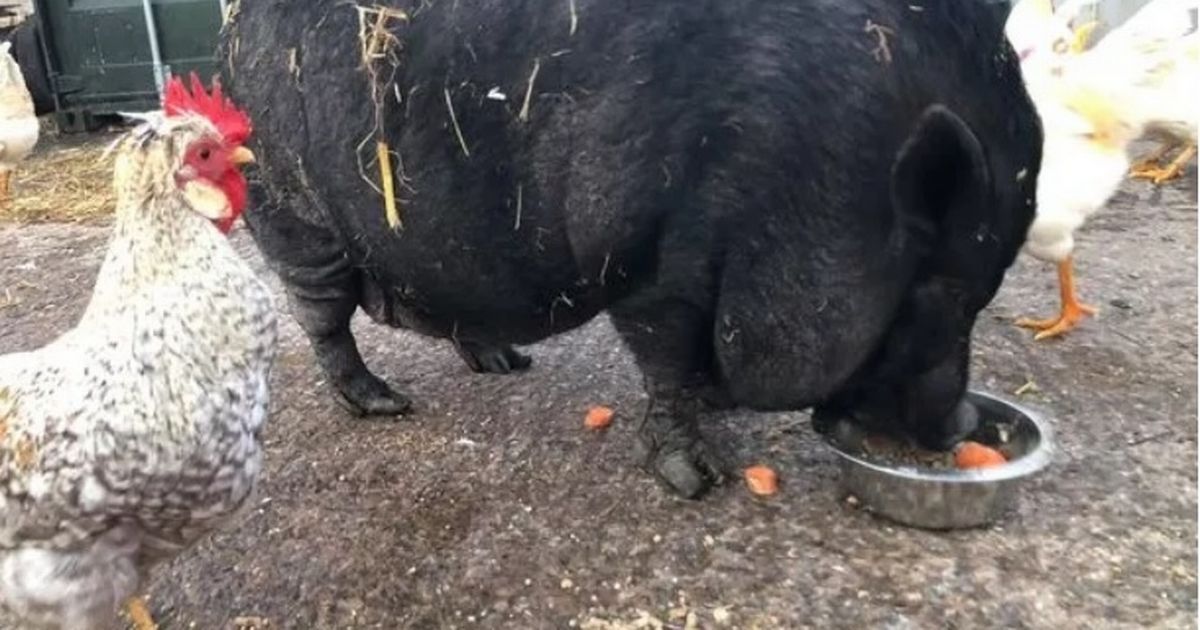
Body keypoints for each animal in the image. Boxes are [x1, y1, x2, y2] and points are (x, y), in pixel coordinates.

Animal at [220, 0, 1041, 498]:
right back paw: (384, 404)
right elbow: (669, 366)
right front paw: (698, 481)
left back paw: (506, 364)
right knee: (323, 321)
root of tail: (227, 41)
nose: (962, 425)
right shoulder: (657, 264)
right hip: (295, 216)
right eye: (944, 291)